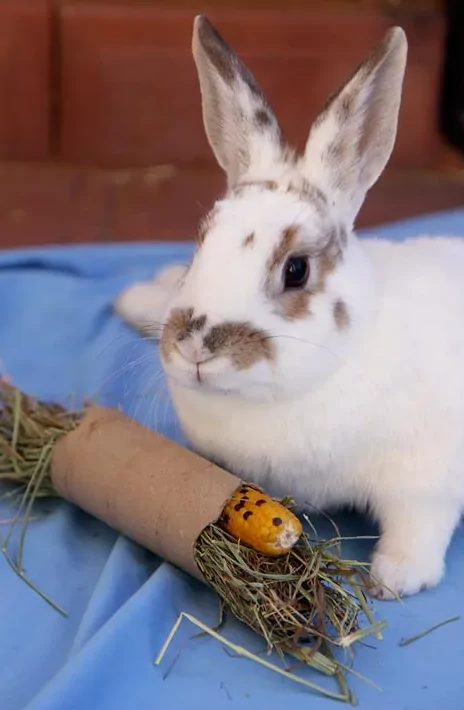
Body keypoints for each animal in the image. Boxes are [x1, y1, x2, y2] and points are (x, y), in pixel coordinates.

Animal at [115, 15, 464, 599]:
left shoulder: (426, 478)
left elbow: (419, 524)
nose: (195, 348)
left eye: (296, 269)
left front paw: (394, 578)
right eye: (201, 242)